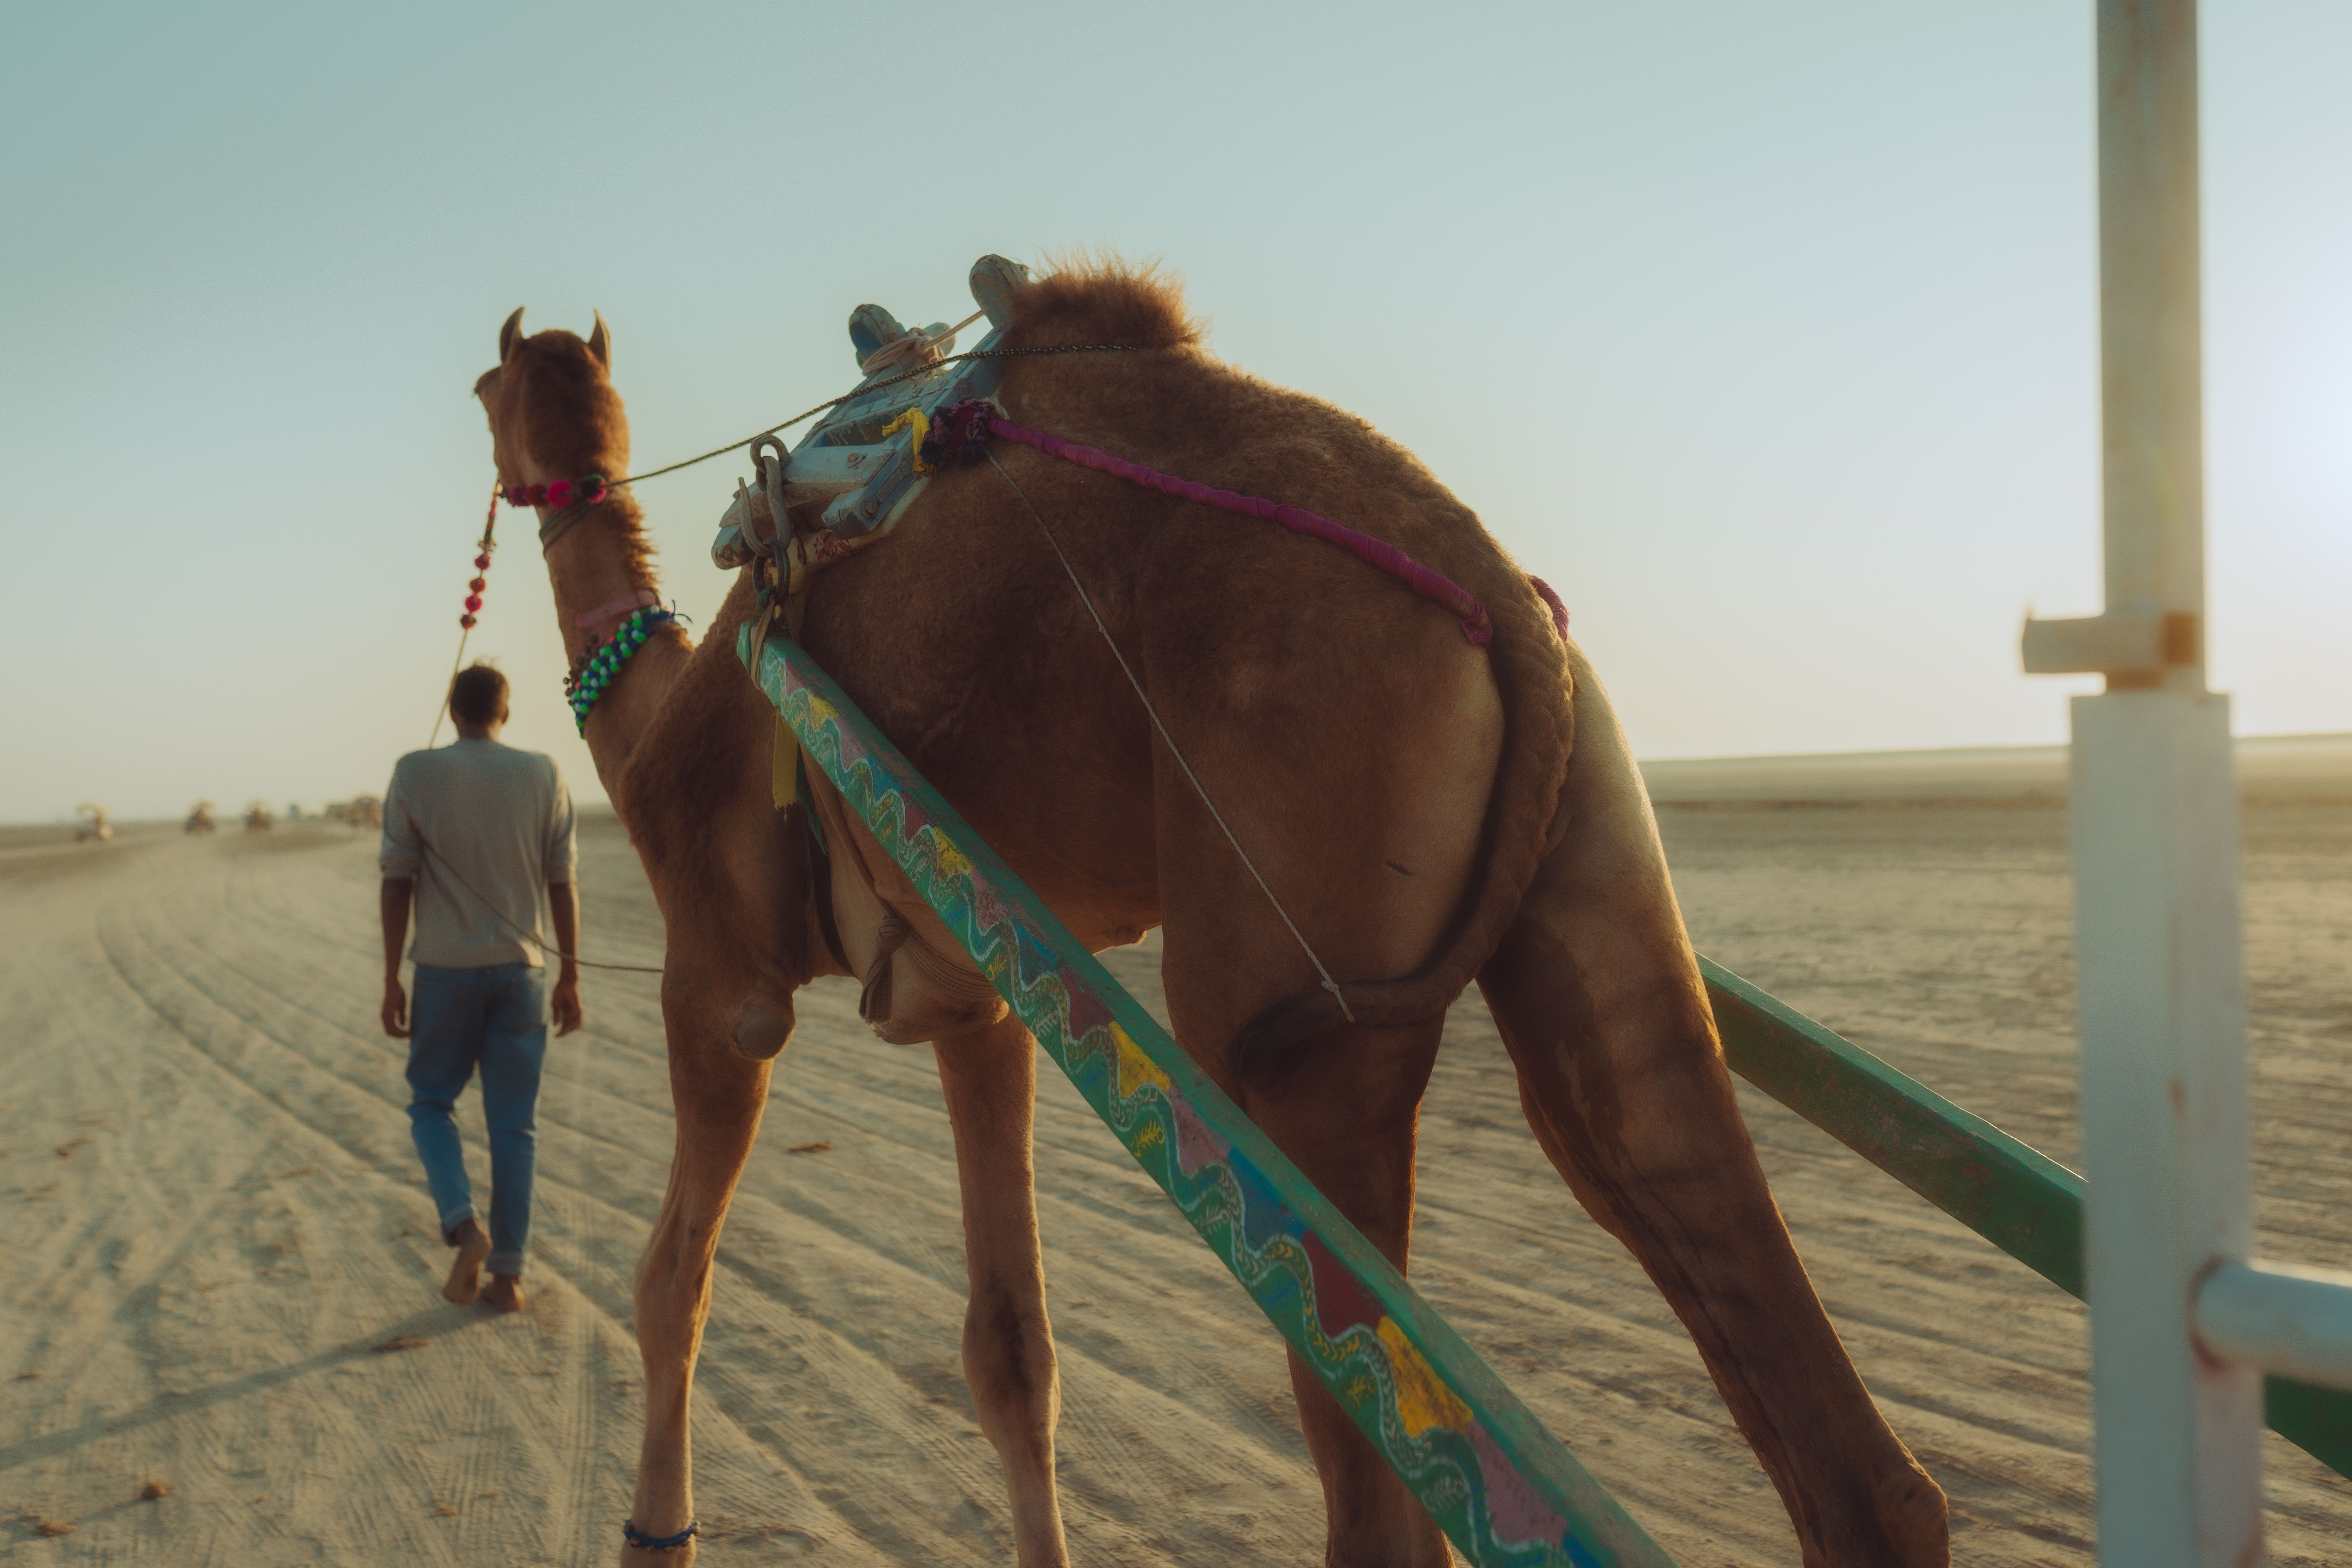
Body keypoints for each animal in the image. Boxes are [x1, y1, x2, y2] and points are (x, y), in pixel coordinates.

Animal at [475, 264, 1950, 1568]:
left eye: (485, 388)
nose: (501, 469)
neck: (662, 711)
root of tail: (1486, 576)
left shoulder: (719, 984)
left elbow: (670, 1284)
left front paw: (655, 1533)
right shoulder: (977, 998)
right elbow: (1010, 1350)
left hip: (1289, 967)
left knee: (1386, 1485)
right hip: (1594, 854)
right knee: (1666, 1162)